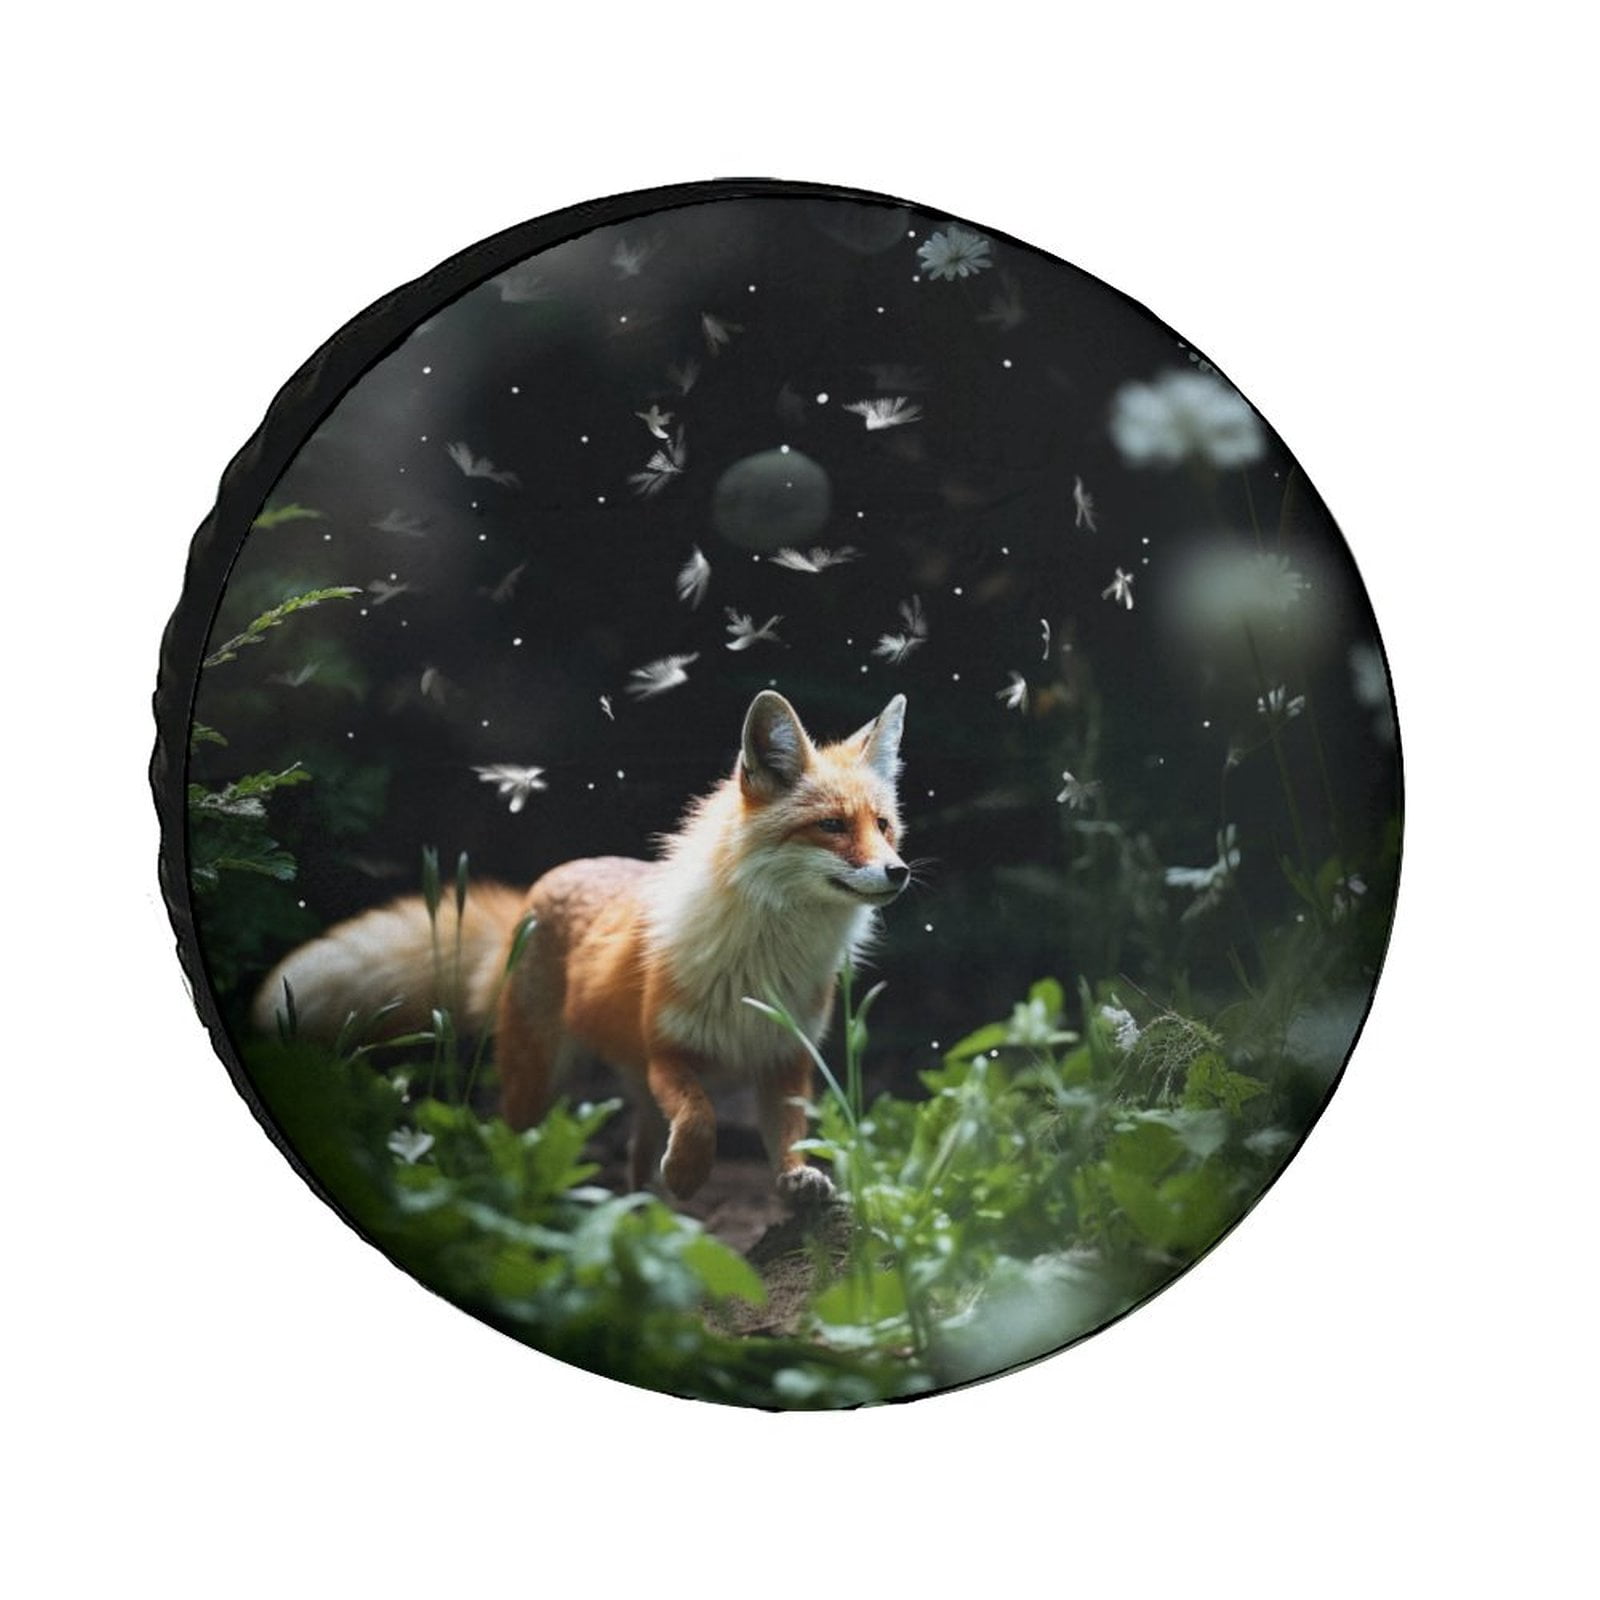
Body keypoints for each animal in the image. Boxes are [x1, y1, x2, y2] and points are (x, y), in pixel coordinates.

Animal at [252, 690, 910, 1204]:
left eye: (883, 826)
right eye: (831, 826)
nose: (899, 871)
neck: (763, 968)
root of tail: (540, 888)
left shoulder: (785, 1059)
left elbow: (794, 1134)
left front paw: (797, 1180)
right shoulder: (667, 1051)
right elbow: (701, 1117)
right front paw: (690, 1174)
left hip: (627, 1087)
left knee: (638, 1163)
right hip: (540, 1080)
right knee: (518, 1143)